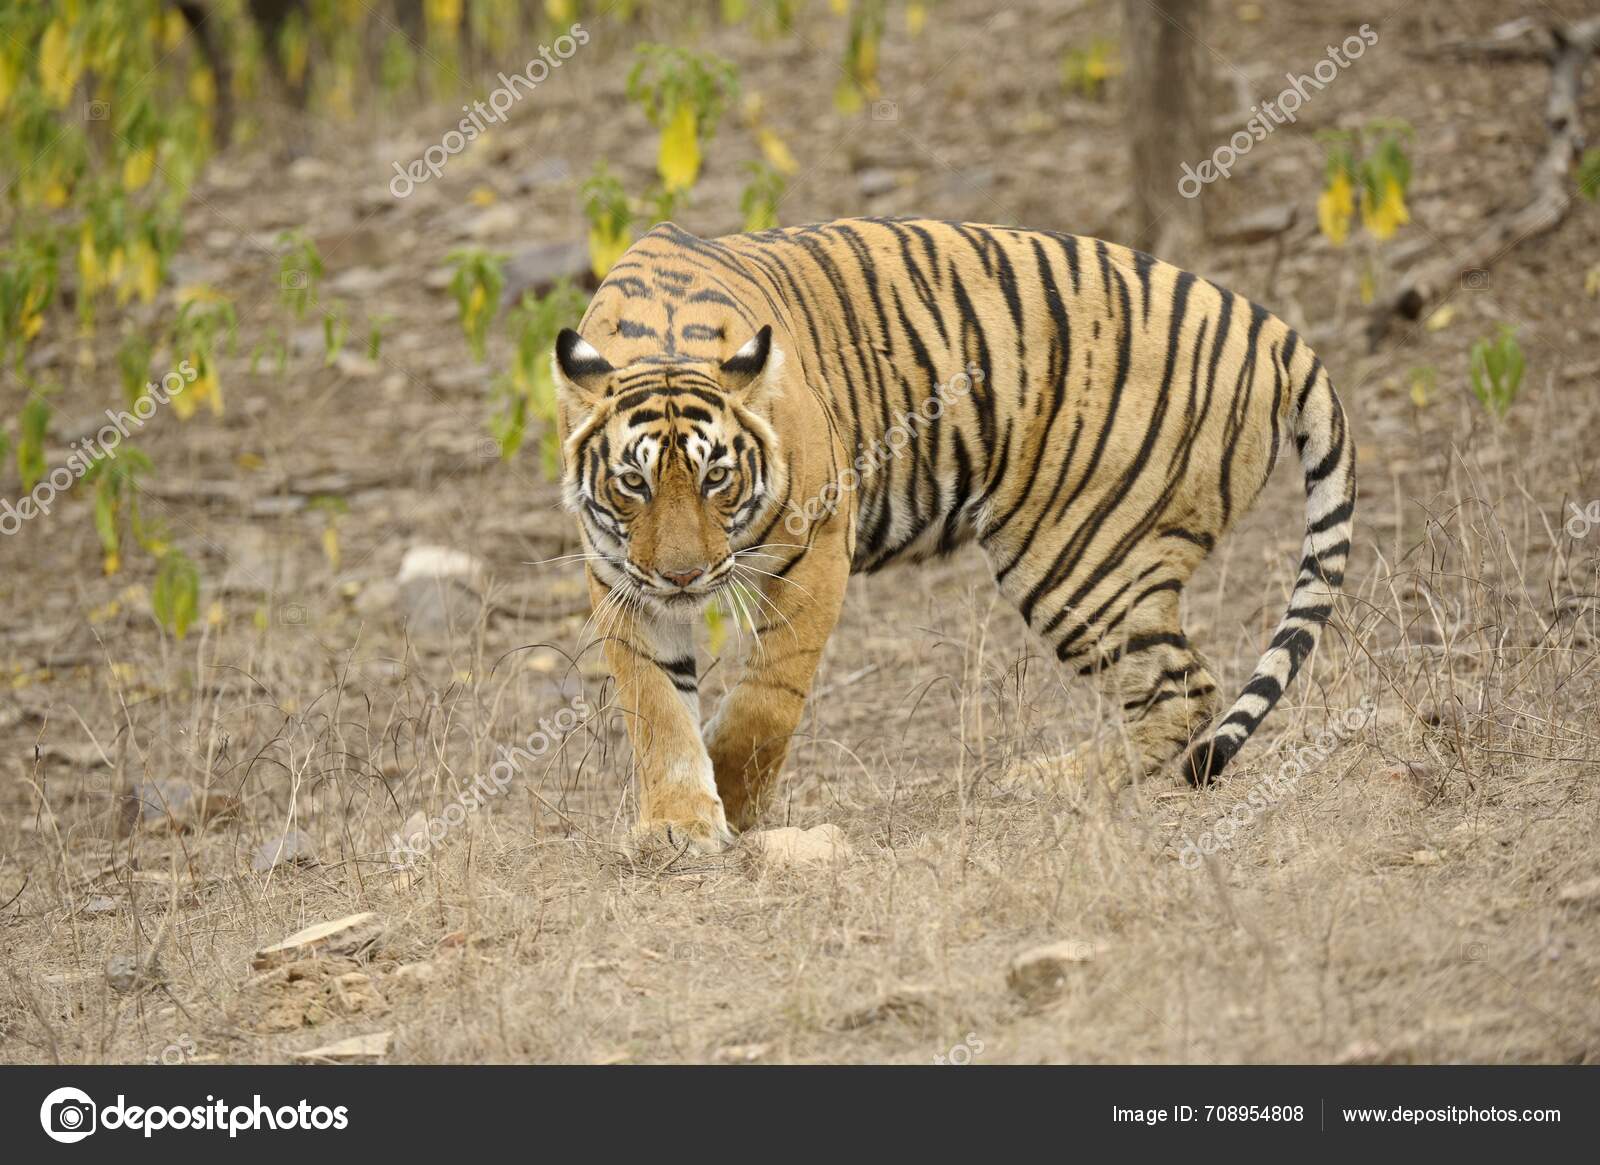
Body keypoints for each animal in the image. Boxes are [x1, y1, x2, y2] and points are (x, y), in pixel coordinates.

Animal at [552, 217, 1355, 855]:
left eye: (716, 477)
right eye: (633, 484)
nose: (683, 578)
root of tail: (1264, 324)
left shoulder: (819, 544)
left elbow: (767, 699)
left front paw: (733, 797)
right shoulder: (621, 577)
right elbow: (656, 703)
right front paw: (678, 825)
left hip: (1079, 561)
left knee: (1181, 689)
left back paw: (1045, 780)